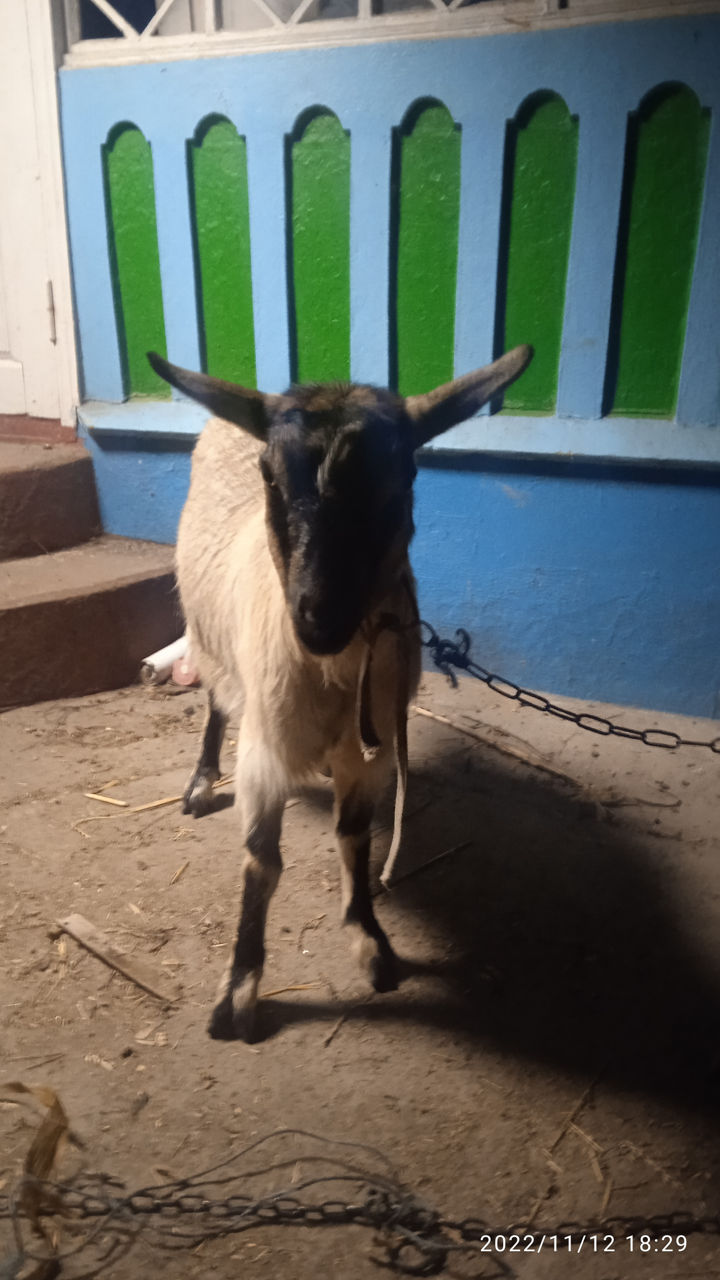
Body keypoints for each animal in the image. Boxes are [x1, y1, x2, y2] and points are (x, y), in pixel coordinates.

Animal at [148, 345, 533, 1040]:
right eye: (269, 475)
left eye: (404, 473)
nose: (319, 617)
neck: (334, 669)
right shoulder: (265, 750)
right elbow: (262, 863)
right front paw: (237, 994)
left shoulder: (369, 753)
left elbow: (354, 838)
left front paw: (371, 944)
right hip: (210, 633)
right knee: (216, 701)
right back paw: (201, 782)